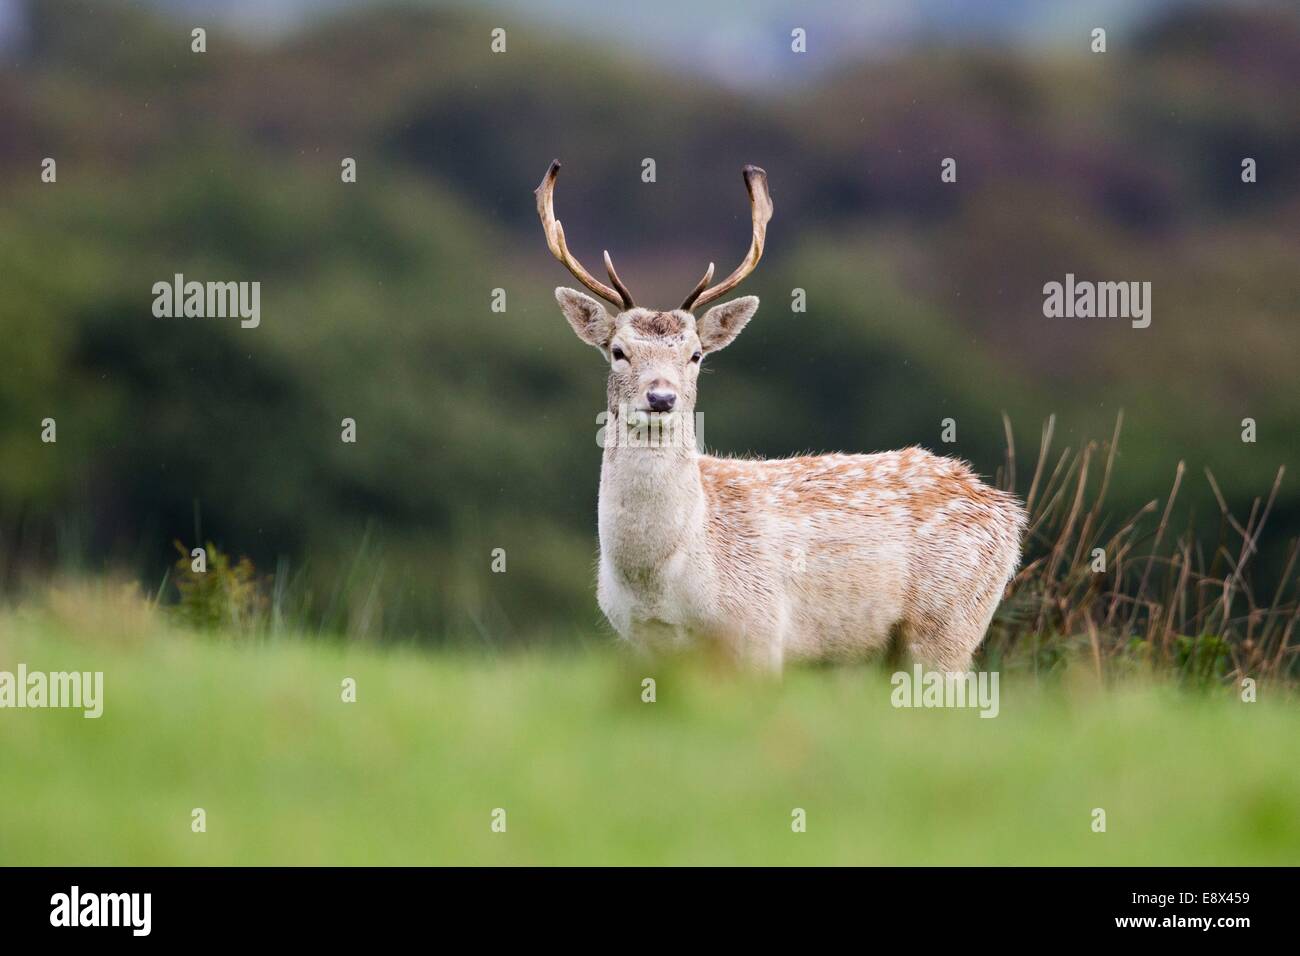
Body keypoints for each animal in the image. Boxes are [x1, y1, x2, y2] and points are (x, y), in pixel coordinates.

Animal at [536, 159, 1026, 672]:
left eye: (695, 355)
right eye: (617, 351)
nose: (662, 398)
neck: (661, 579)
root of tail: (1008, 513)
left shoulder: (760, 633)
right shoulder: (642, 642)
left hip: (948, 627)